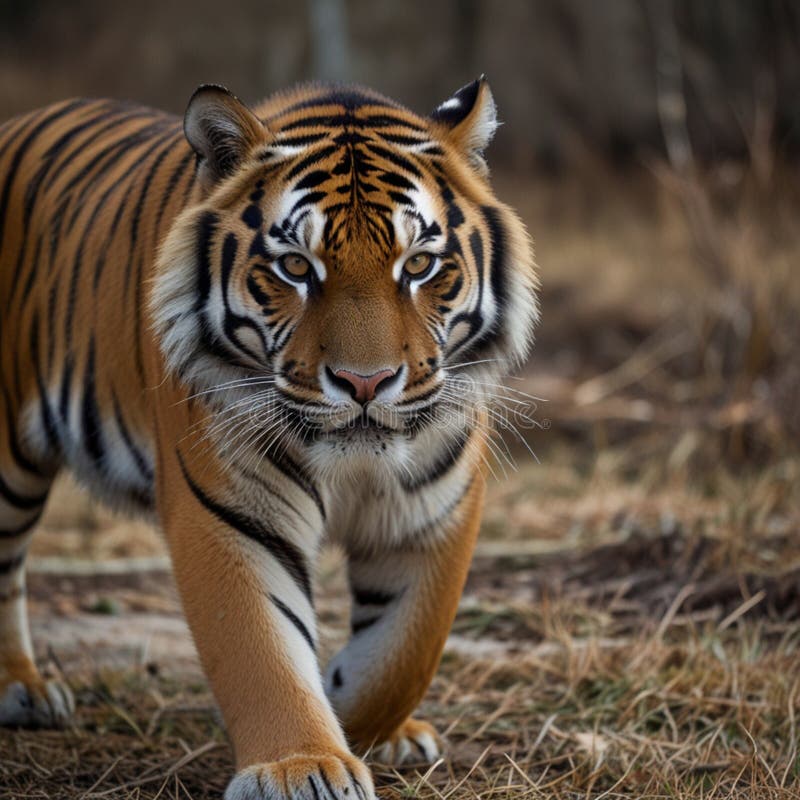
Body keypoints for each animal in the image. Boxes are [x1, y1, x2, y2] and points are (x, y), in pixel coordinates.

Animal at [0, 77, 538, 798]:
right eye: (295, 267)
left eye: (420, 264)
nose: (365, 382)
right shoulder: (230, 512)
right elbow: (262, 648)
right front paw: (303, 766)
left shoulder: (435, 510)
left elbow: (406, 650)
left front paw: (360, 715)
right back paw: (21, 689)